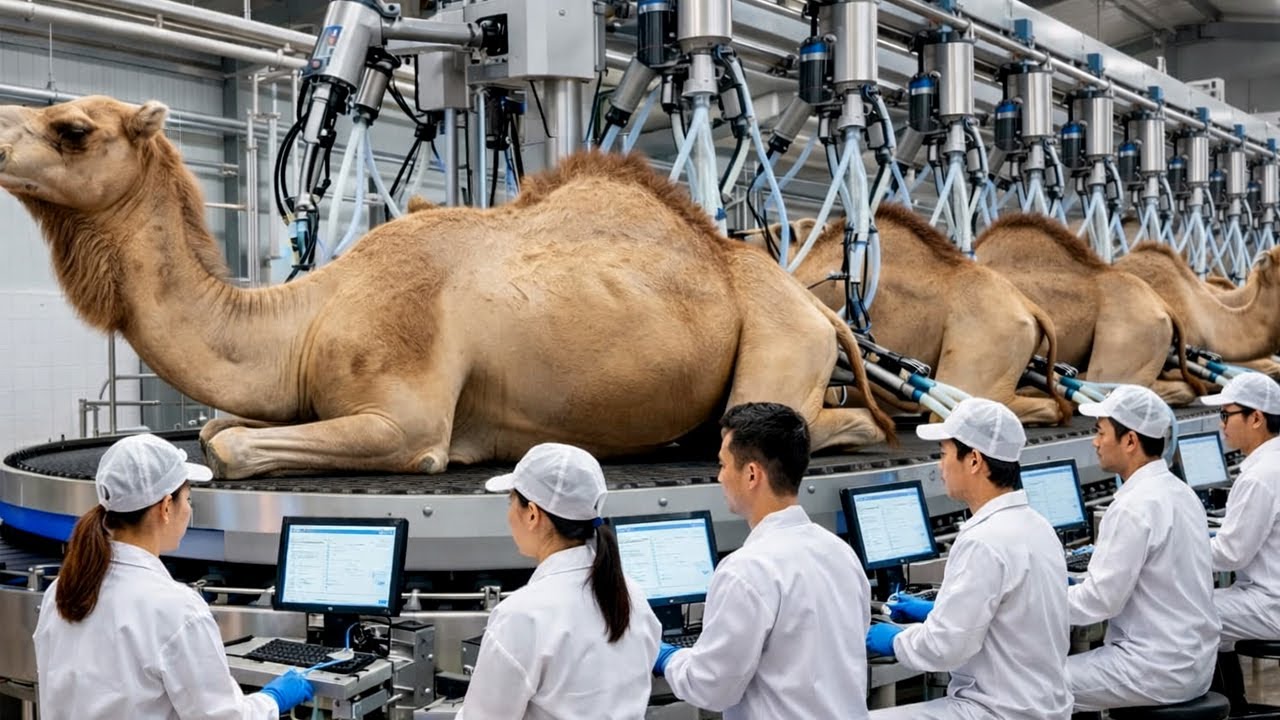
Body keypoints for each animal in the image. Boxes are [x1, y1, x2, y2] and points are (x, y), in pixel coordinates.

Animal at [0, 96, 894, 478]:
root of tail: (818, 308)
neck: (306, 317)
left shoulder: (405, 422)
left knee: (836, 425)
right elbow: (221, 424)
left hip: (782, 342)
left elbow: (233, 446)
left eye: (72, 128)